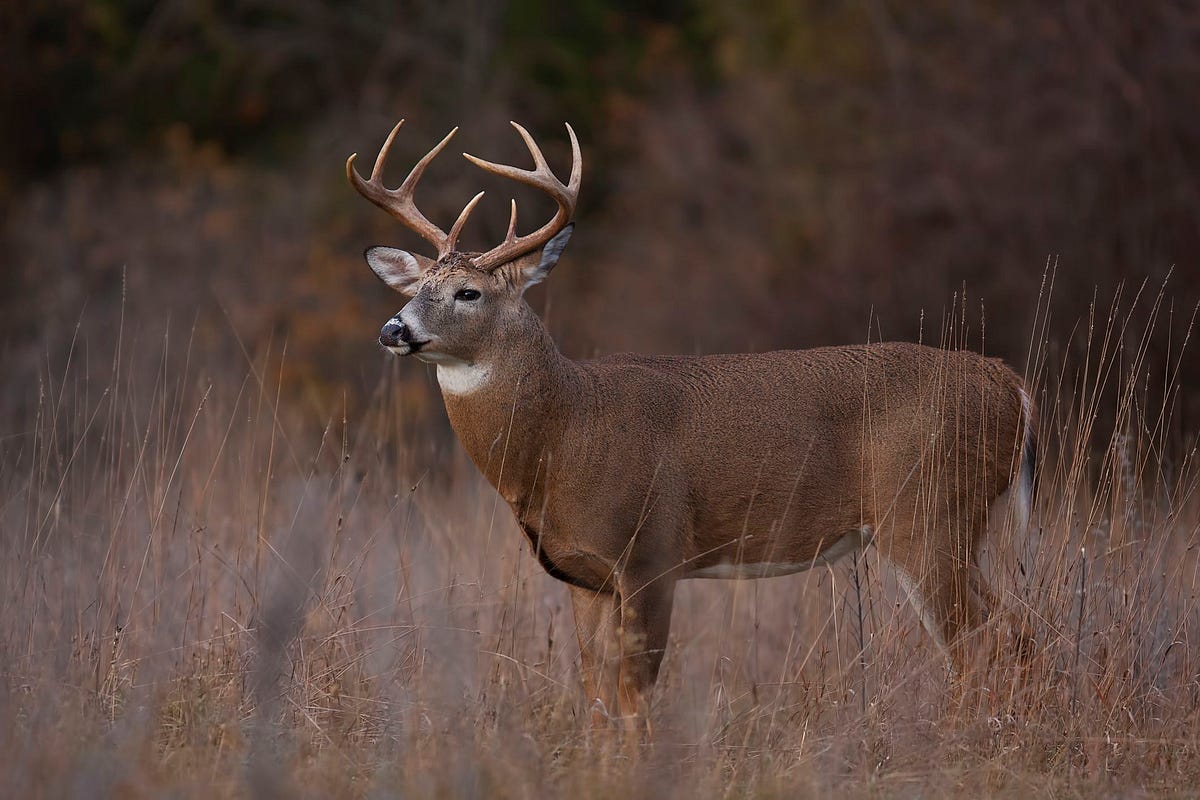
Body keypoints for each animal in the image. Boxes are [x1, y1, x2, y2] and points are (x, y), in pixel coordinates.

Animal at [347, 119, 1037, 731]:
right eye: (415, 286)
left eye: (468, 293)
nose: (393, 329)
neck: (565, 432)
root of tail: (1013, 386)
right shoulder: (581, 576)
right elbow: (596, 698)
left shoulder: (652, 551)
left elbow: (635, 696)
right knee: (1013, 629)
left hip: (929, 513)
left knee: (984, 637)